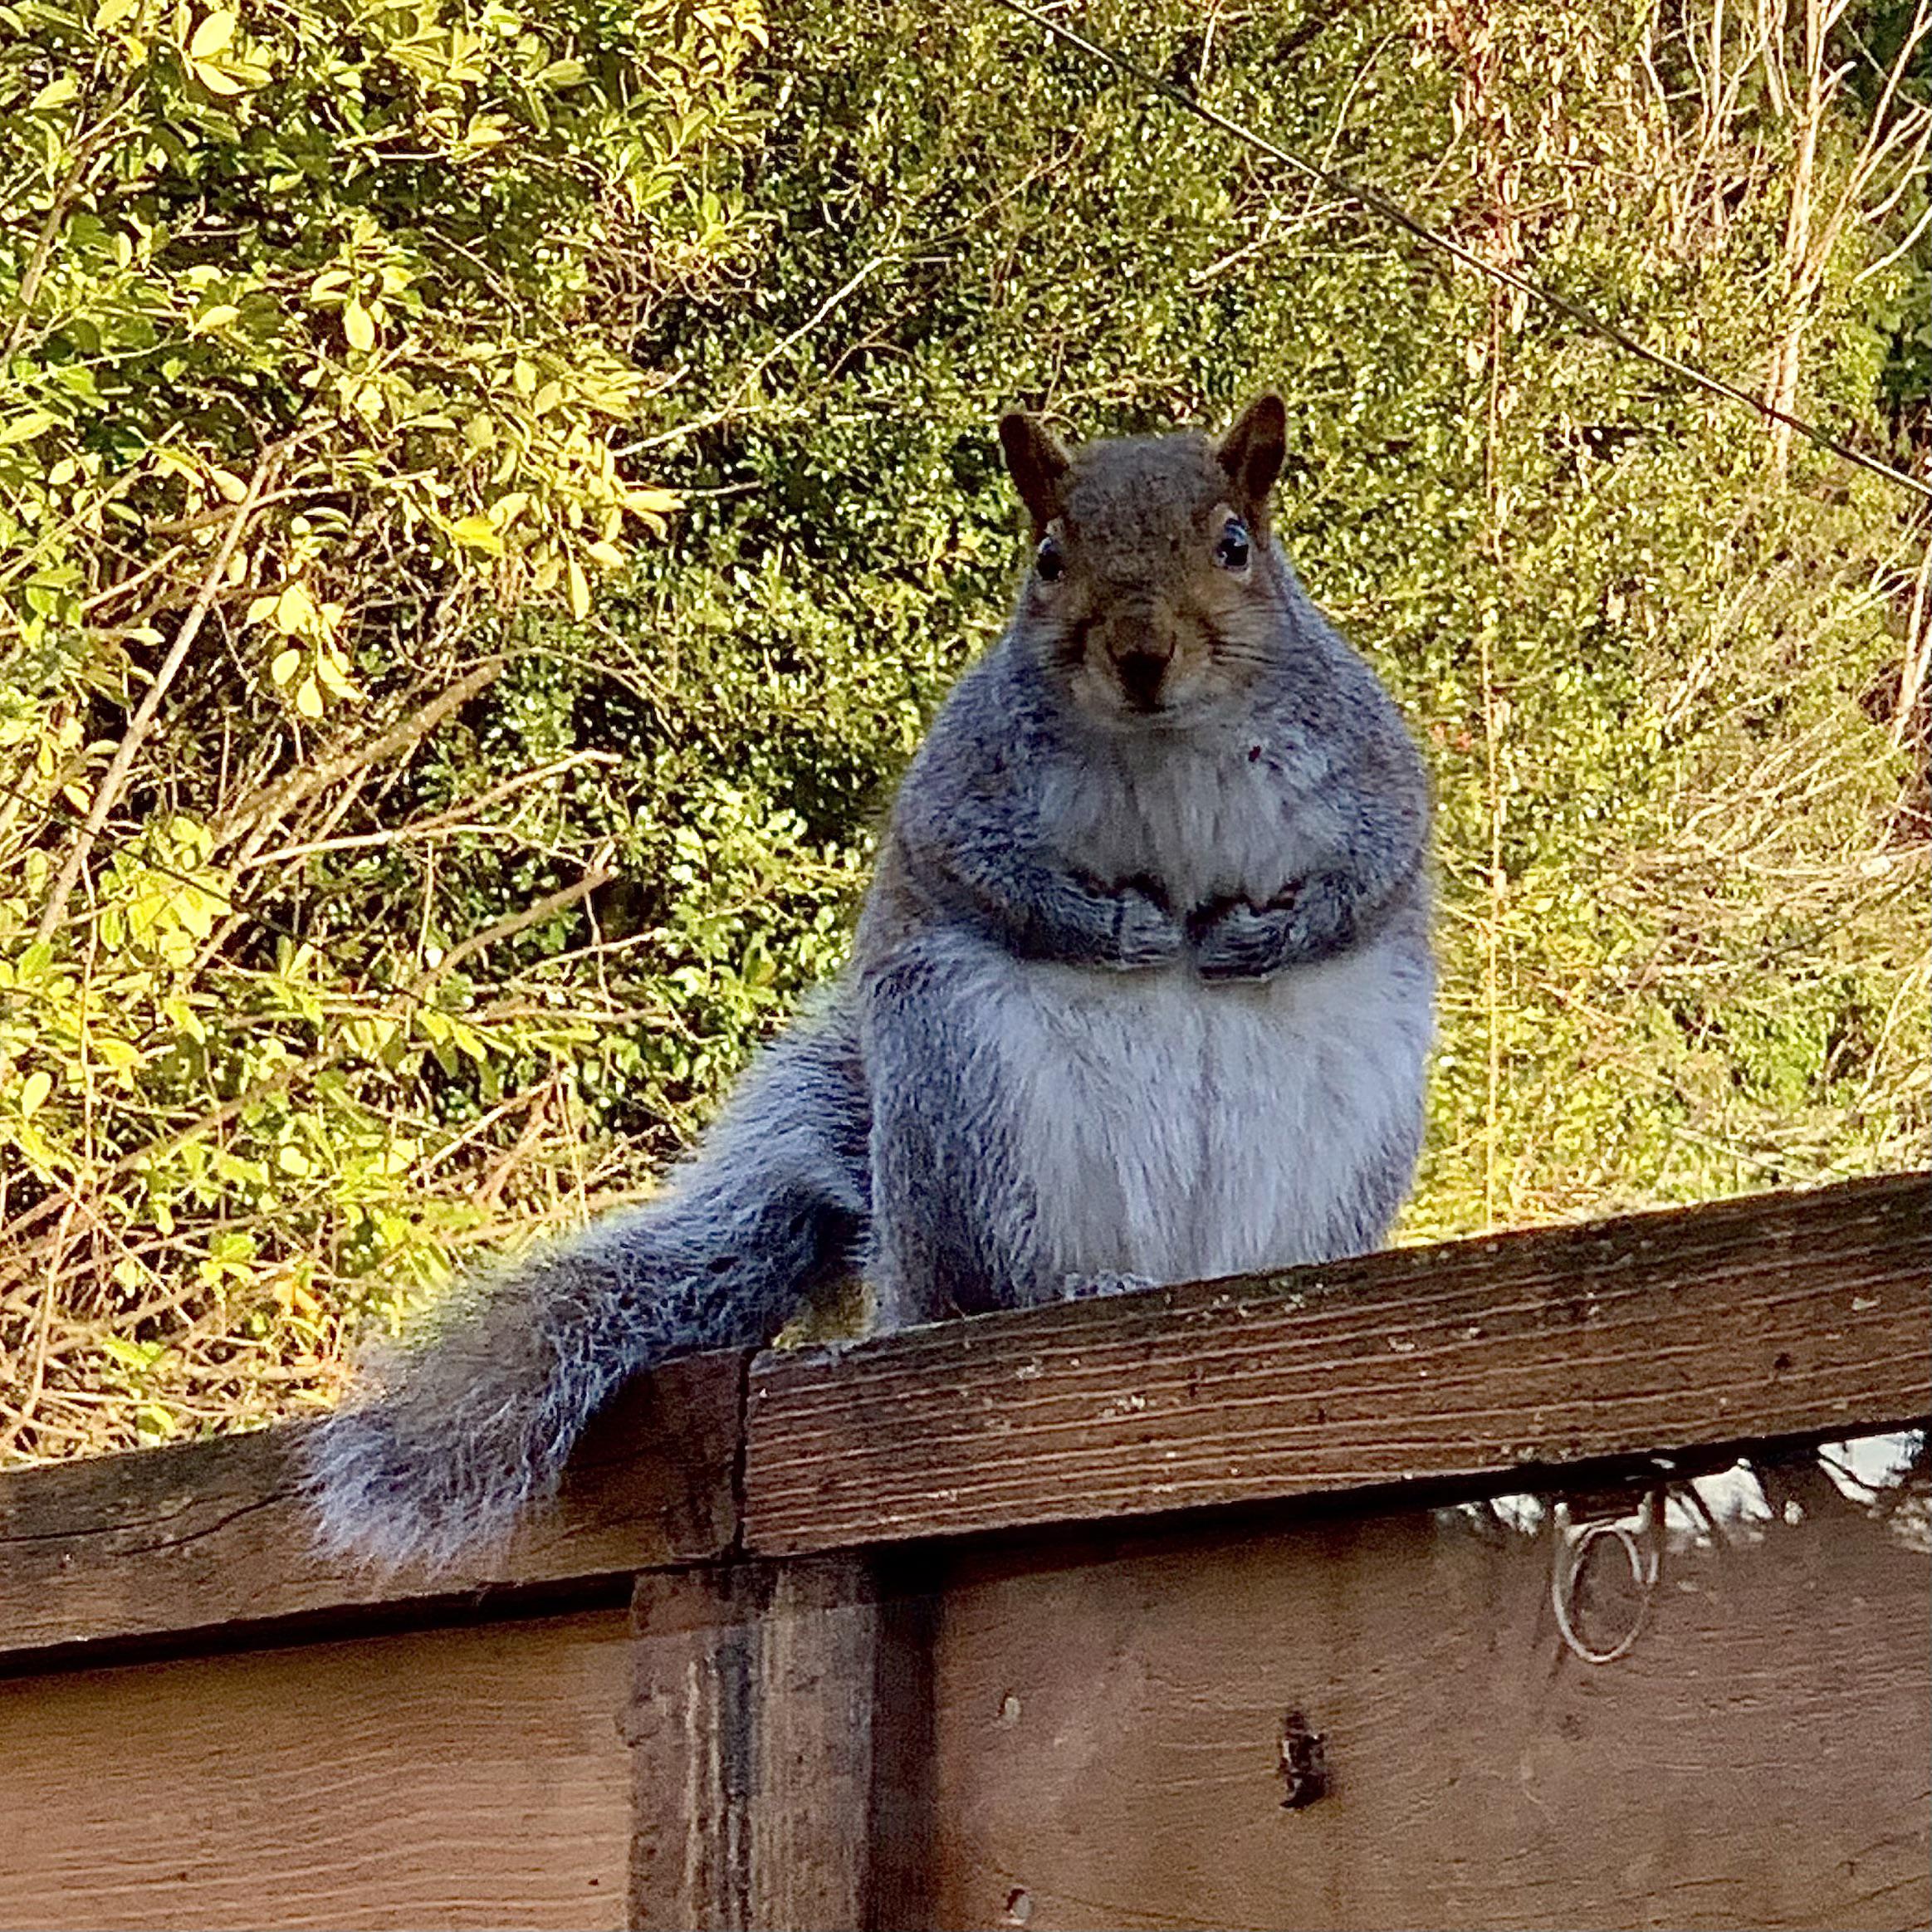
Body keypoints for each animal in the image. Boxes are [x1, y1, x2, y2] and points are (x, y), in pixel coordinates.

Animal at [304, 394, 1435, 1571]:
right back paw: (1080, 1284)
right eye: (1047, 557)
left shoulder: (1366, 762)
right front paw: (1123, 927)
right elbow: (990, 875)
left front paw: (1262, 935)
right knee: (986, 1291)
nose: (1140, 651)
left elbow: (1374, 867)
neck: (1166, 737)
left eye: (1233, 543)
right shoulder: (963, 786)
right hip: (969, 1113)